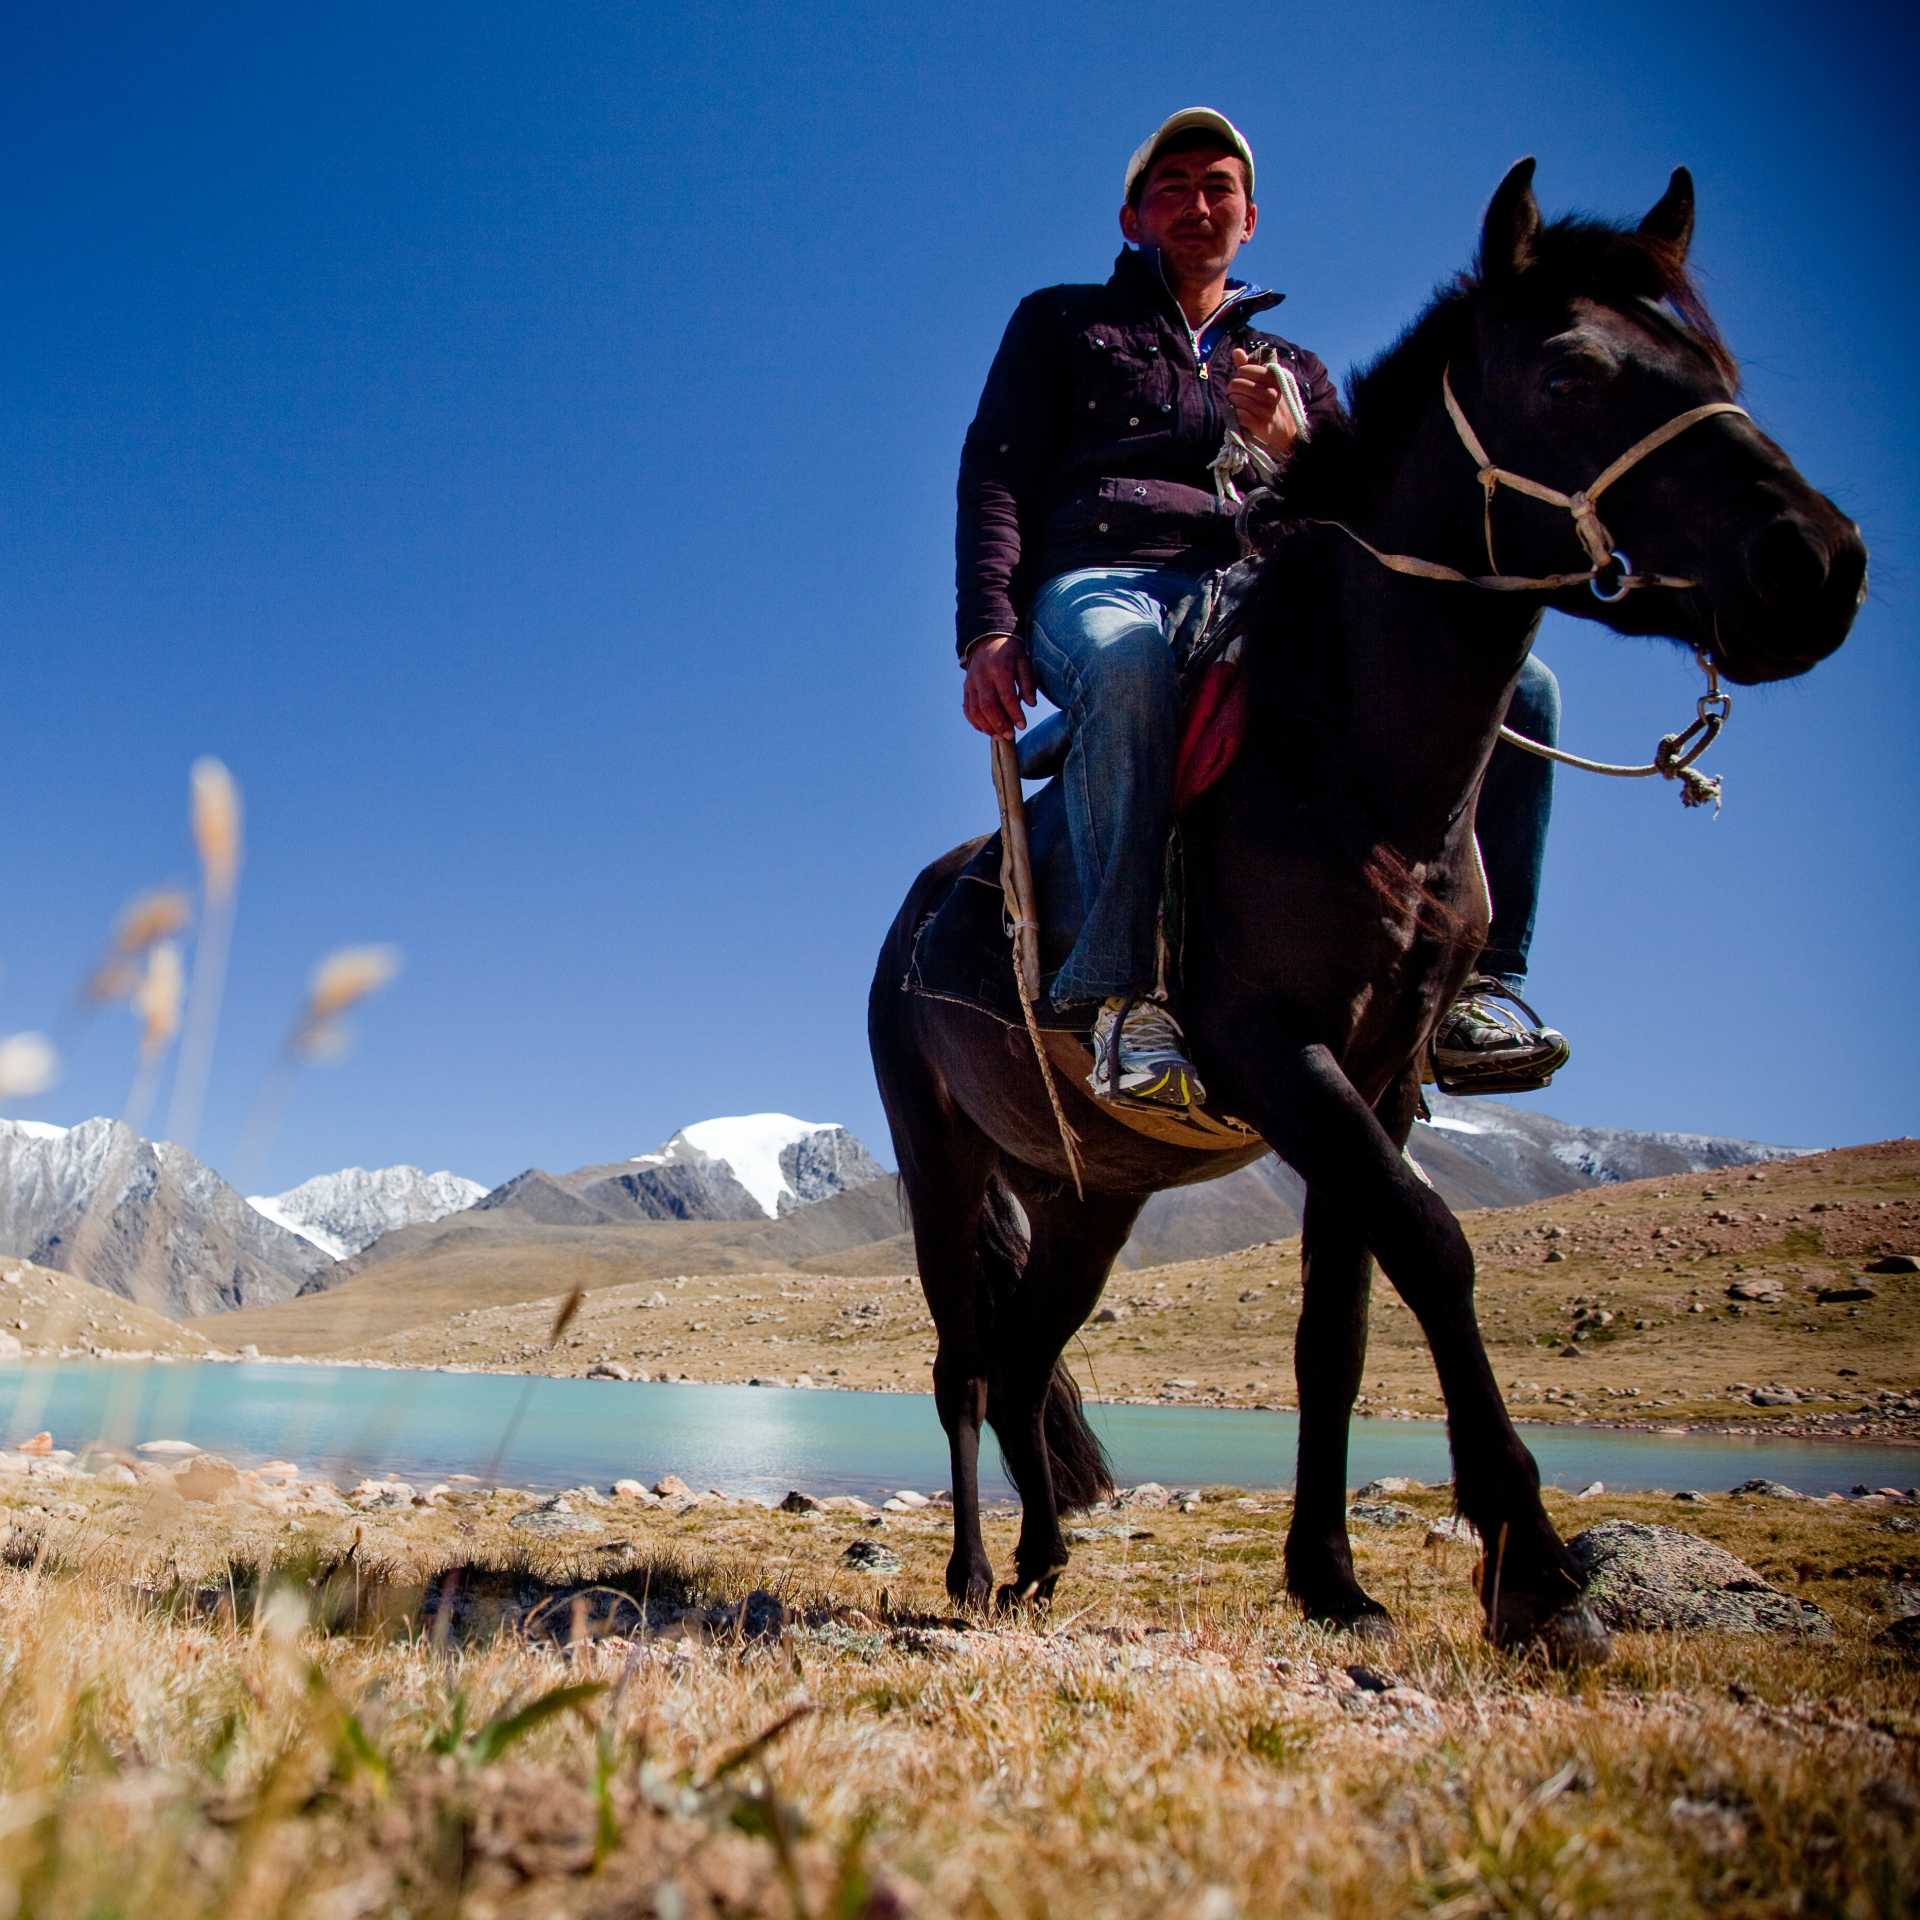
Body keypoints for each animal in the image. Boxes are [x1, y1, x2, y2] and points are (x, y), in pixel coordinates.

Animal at [868, 161, 1867, 1657]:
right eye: (1569, 371)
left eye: (1720, 366)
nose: (1816, 563)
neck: (1346, 754)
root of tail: (915, 915)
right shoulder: (1276, 1053)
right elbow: (1438, 1249)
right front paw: (1535, 1569)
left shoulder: (1381, 1075)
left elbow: (1335, 1330)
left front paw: (1333, 1579)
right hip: (942, 1159)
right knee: (969, 1363)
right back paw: (976, 1572)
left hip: (1088, 1188)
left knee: (1037, 1347)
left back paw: (1044, 1557)